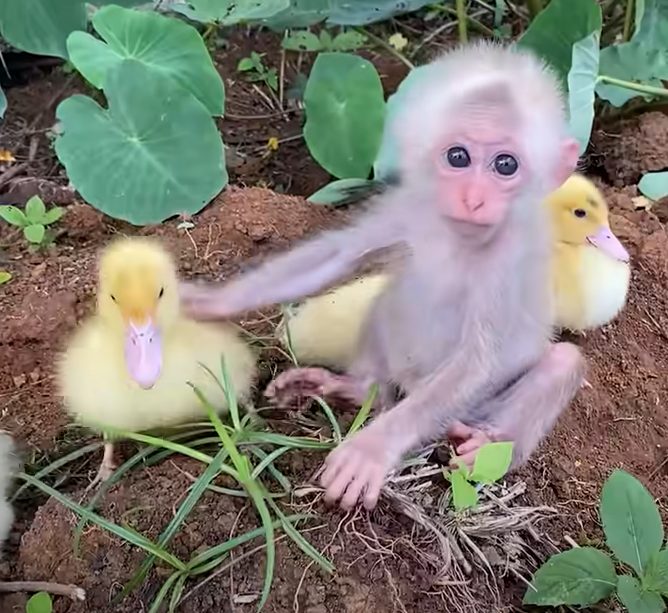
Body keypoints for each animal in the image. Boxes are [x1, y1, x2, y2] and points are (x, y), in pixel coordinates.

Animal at [180, 41, 585, 511]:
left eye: (506, 165)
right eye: (458, 157)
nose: (474, 198)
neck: (458, 237)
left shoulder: (511, 259)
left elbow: (478, 362)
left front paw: (370, 449)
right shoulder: (406, 206)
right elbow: (337, 256)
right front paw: (208, 303)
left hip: (469, 412)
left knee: (562, 361)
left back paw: (491, 443)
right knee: (385, 305)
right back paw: (350, 389)